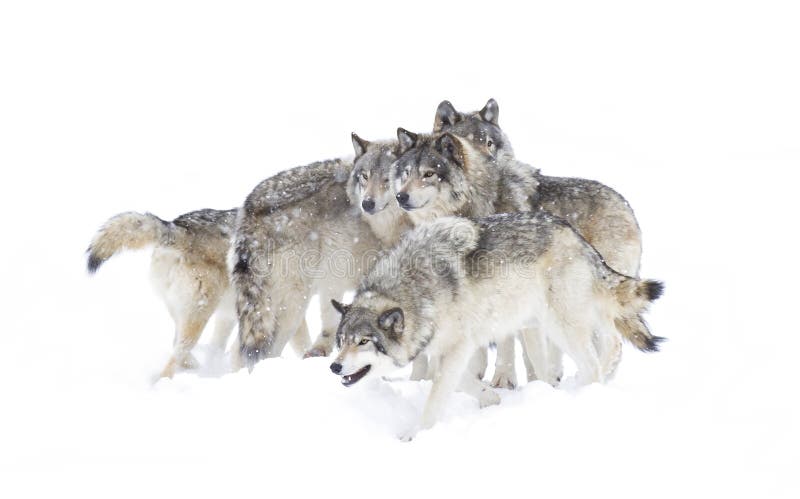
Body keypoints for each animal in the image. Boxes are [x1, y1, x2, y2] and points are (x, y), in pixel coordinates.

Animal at [86, 208, 312, 378]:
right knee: (175, 356)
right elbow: (301, 343)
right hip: (200, 313)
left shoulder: (230, 316)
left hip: (188, 313)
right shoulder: (290, 307)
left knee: (177, 346)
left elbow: (221, 345)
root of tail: (176, 226)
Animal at [330, 214, 663, 440]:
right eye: (342, 340)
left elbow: (436, 395)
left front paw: (415, 434)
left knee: (593, 362)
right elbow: (457, 381)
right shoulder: (442, 351)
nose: (334, 366)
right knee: (609, 345)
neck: (415, 290)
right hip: (540, 326)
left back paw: (579, 395)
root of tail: (576, 235)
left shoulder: (458, 347)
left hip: (559, 324)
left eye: (363, 342)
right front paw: (491, 399)